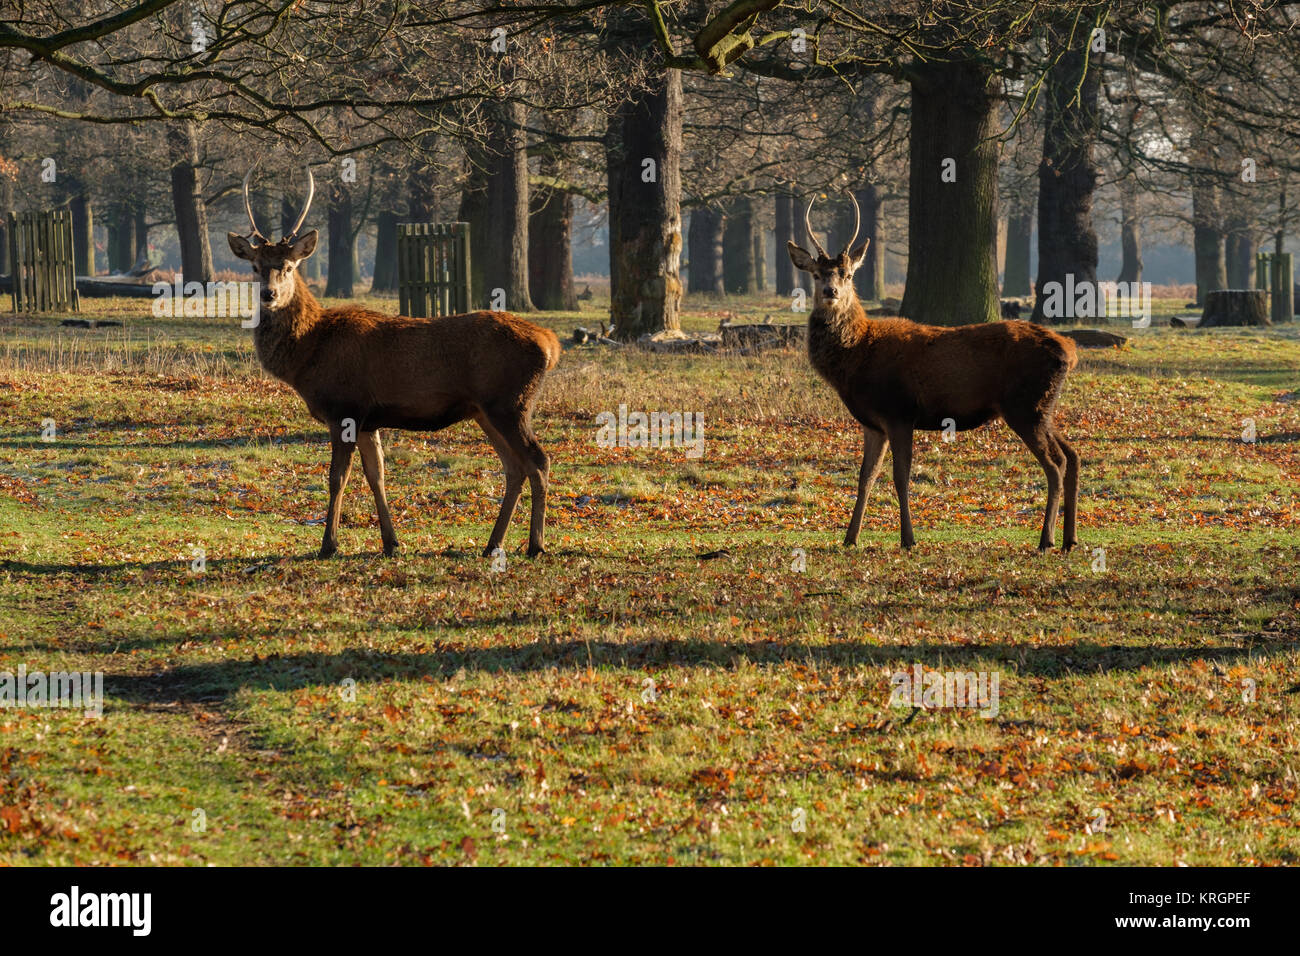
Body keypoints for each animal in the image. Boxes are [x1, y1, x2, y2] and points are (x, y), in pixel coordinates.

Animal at [228, 166, 561, 560]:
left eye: (290, 266)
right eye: (255, 266)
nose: (269, 294)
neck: (310, 352)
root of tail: (550, 344)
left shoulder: (345, 409)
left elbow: (337, 478)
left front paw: (329, 544)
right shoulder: (368, 420)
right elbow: (377, 476)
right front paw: (391, 543)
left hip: (510, 403)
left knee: (538, 461)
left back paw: (536, 545)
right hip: (486, 410)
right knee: (514, 467)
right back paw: (493, 543)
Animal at [787, 192, 1080, 553]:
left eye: (848, 274)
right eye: (817, 274)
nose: (831, 292)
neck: (857, 357)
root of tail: (1069, 351)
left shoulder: (899, 412)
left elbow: (900, 476)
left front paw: (908, 539)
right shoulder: (873, 424)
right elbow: (865, 476)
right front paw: (849, 538)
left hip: (1026, 406)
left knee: (1056, 463)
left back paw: (1046, 539)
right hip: (1043, 407)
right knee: (1073, 455)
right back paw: (1069, 539)